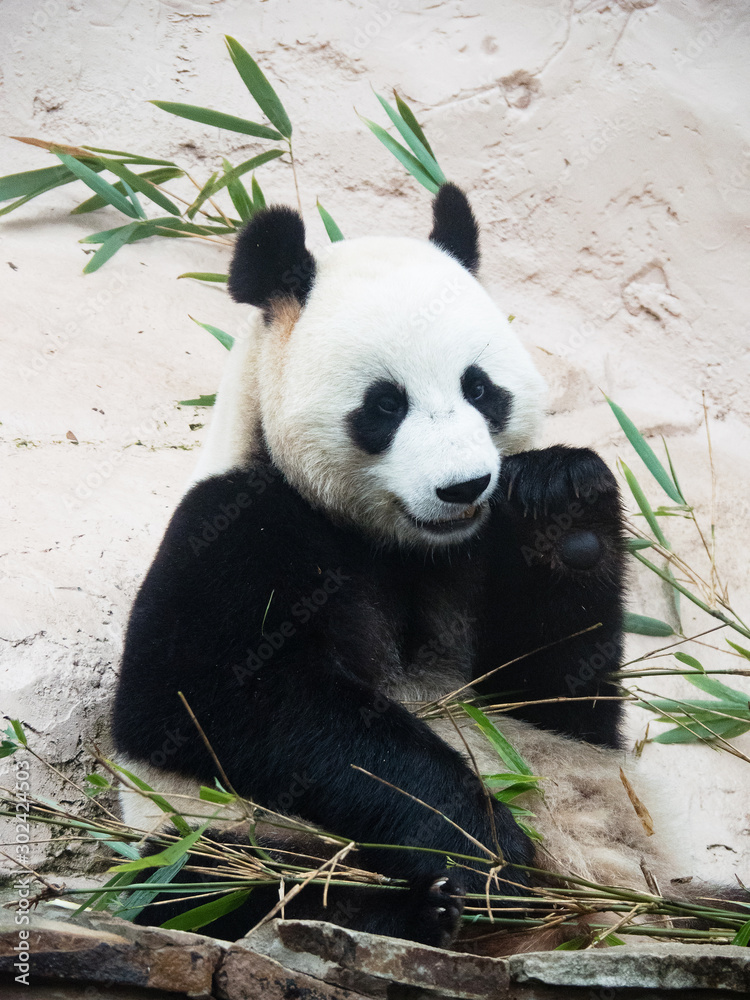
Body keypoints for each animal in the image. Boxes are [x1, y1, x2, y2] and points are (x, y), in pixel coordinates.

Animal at [112, 184, 695, 949]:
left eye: (480, 389)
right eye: (385, 405)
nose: (463, 486)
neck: (401, 544)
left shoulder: (476, 556)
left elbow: (555, 700)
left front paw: (564, 505)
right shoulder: (237, 524)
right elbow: (204, 697)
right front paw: (483, 850)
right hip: (222, 835)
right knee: (215, 884)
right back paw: (418, 909)